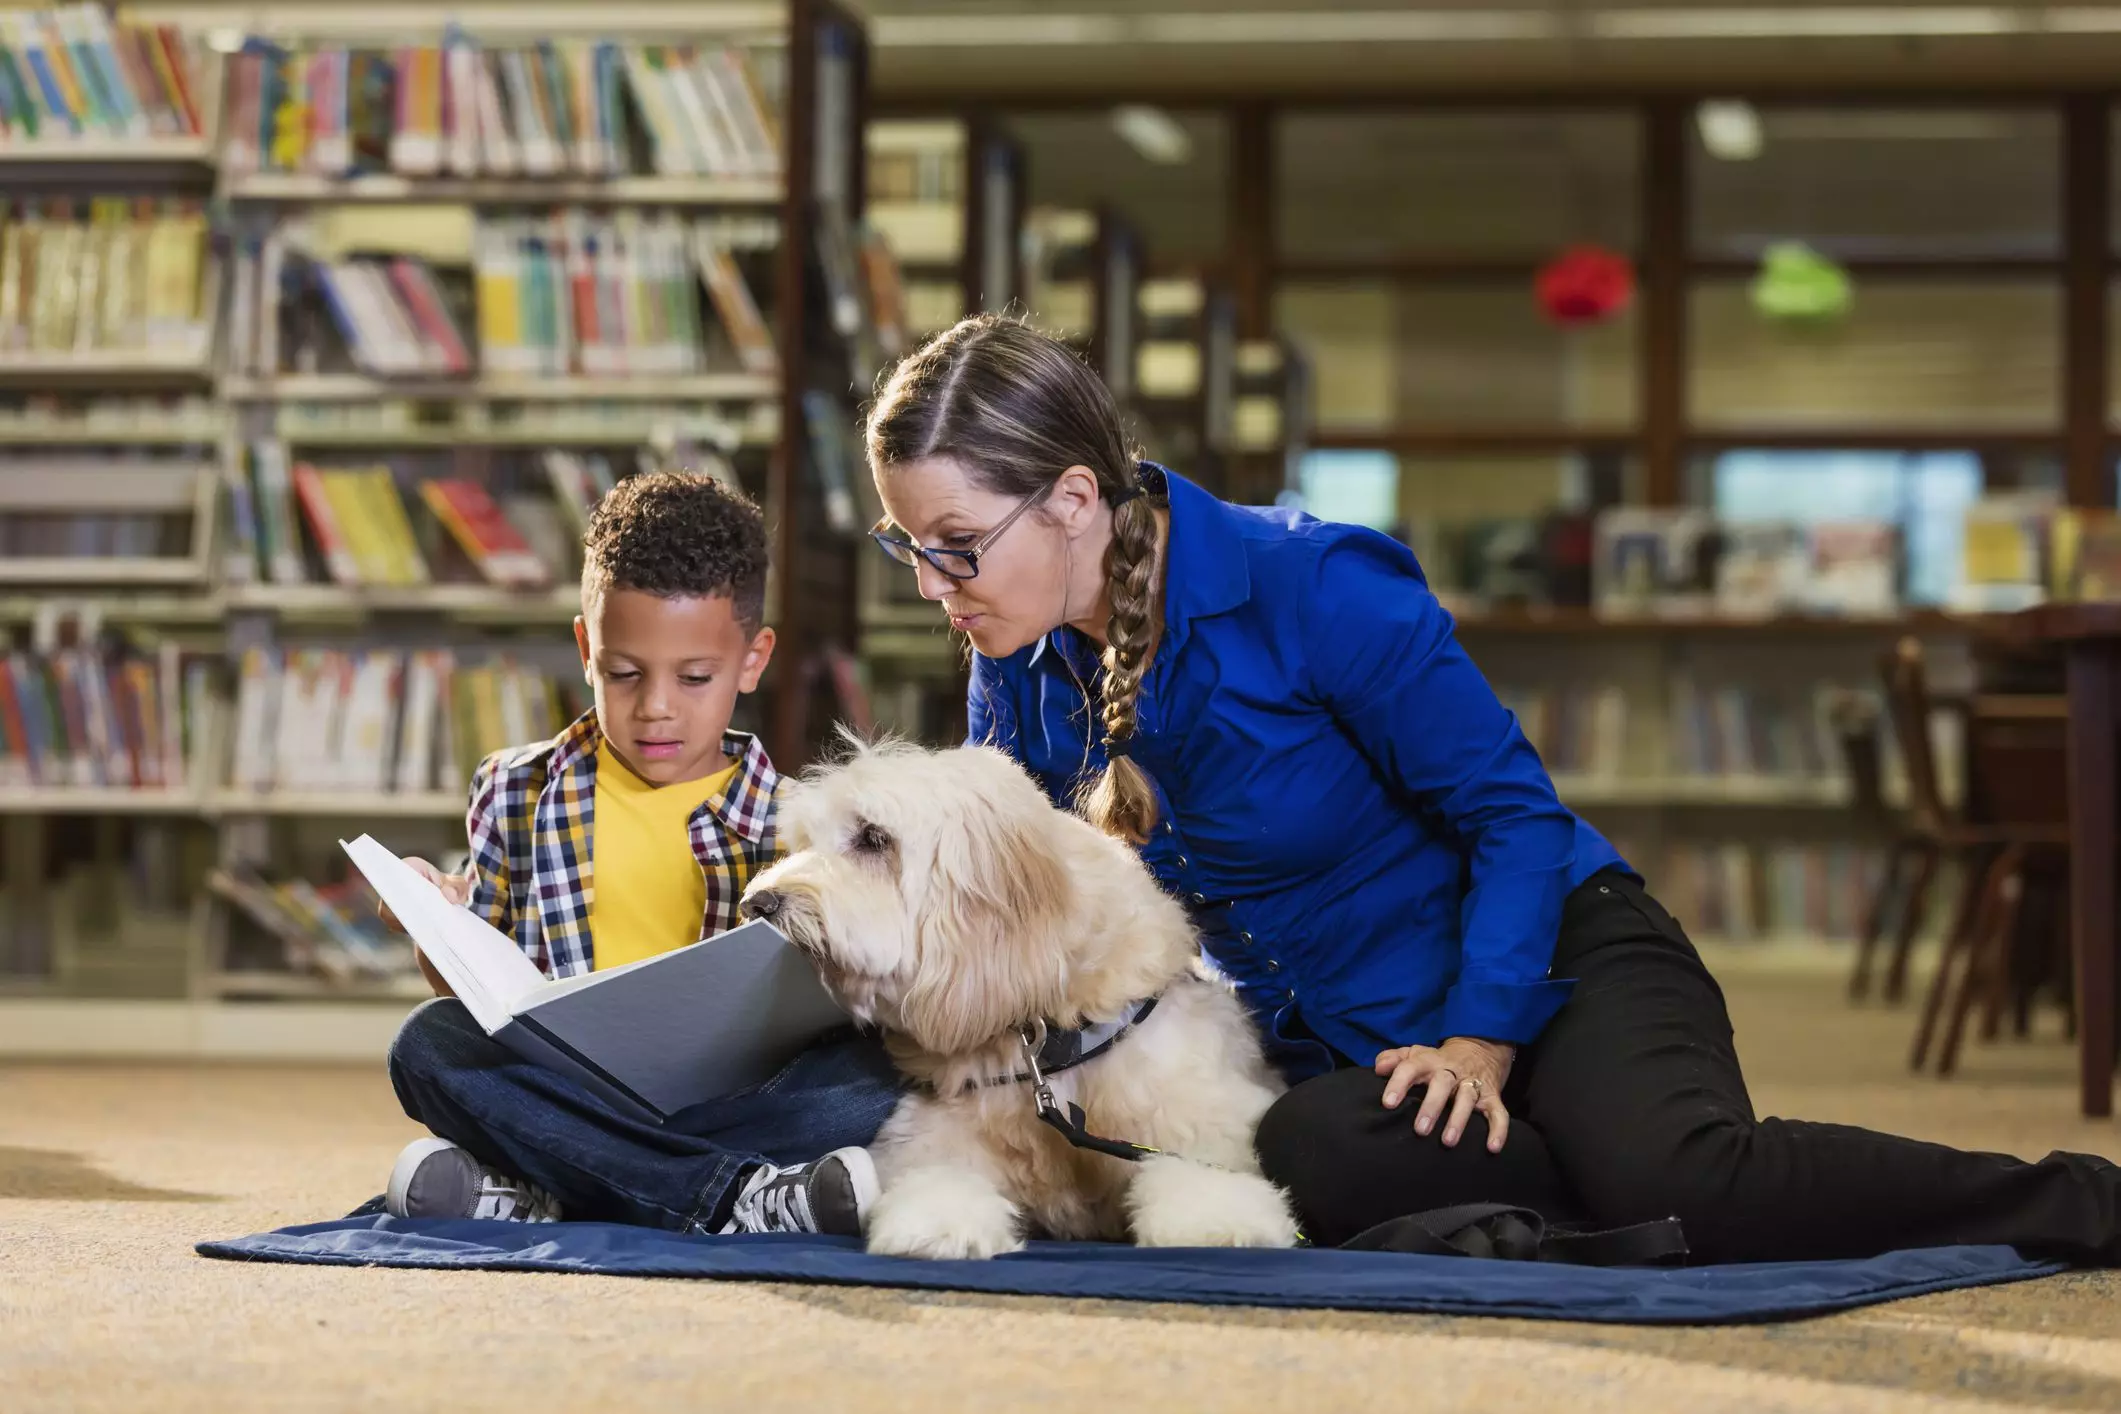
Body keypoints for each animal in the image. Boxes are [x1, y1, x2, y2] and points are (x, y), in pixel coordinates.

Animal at [746, 741, 1306, 1263]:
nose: (759, 903)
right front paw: (938, 1225)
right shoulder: (934, 1132)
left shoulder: (1198, 1116)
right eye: (805, 842)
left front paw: (1220, 1221)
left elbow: (1201, 1168)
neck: (1051, 1046)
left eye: (873, 837)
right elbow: (936, 1176)